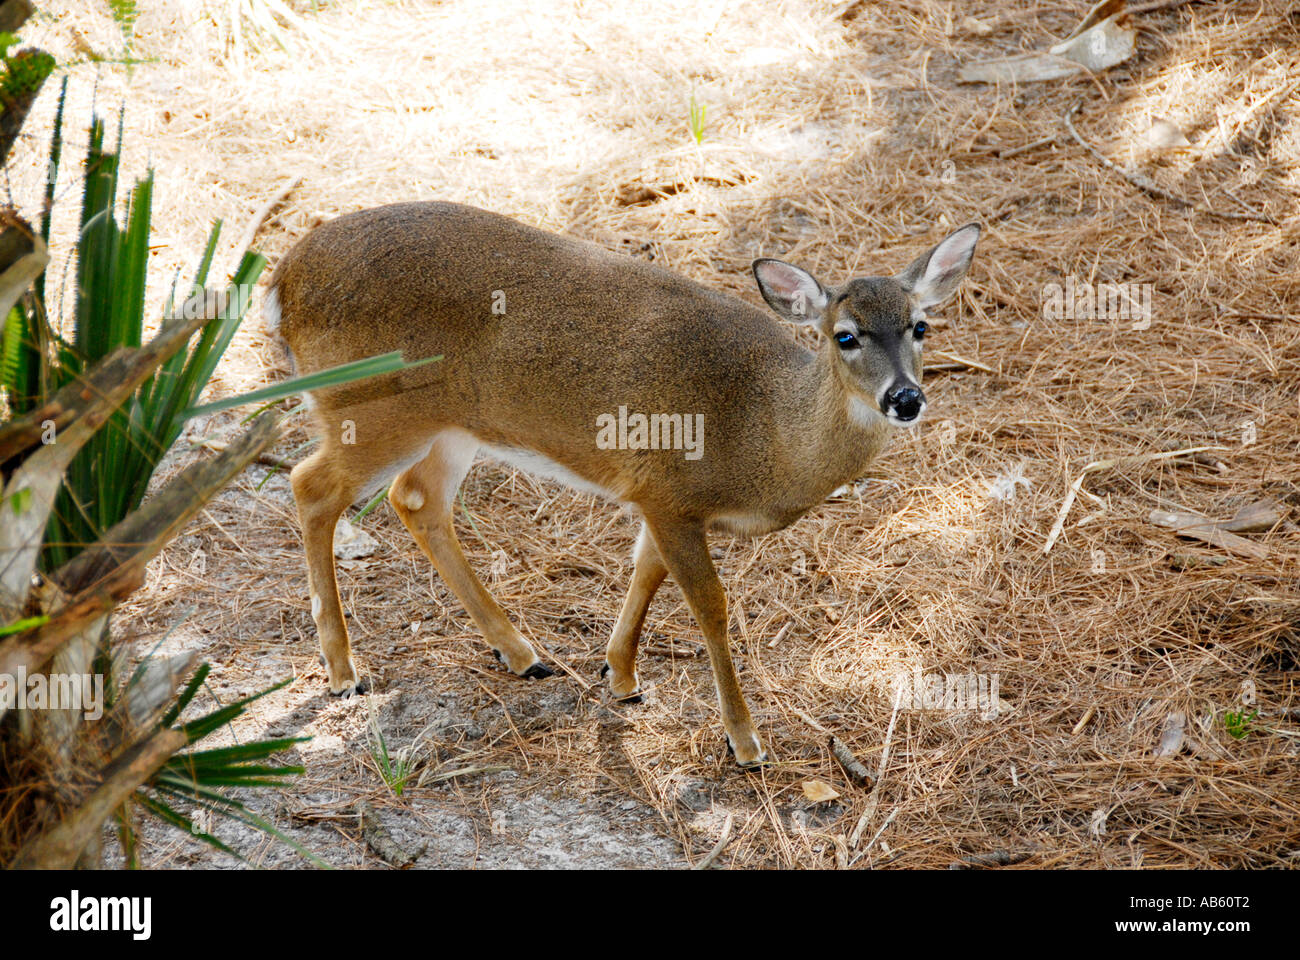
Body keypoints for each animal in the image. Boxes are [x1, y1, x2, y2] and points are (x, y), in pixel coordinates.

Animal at [266, 202, 980, 767]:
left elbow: (645, 571)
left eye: (921, 326)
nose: (905, 398)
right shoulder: (670, 490)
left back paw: (520, 652)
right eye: (845, 336)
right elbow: (710, 606)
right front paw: (745, 741)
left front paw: (621, 674)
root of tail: (283, 278)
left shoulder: (656, 498)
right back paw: (343, 672)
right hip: (369, 408)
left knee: (416, 499)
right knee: (311, 485)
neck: (763, 429)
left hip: (453, 425)